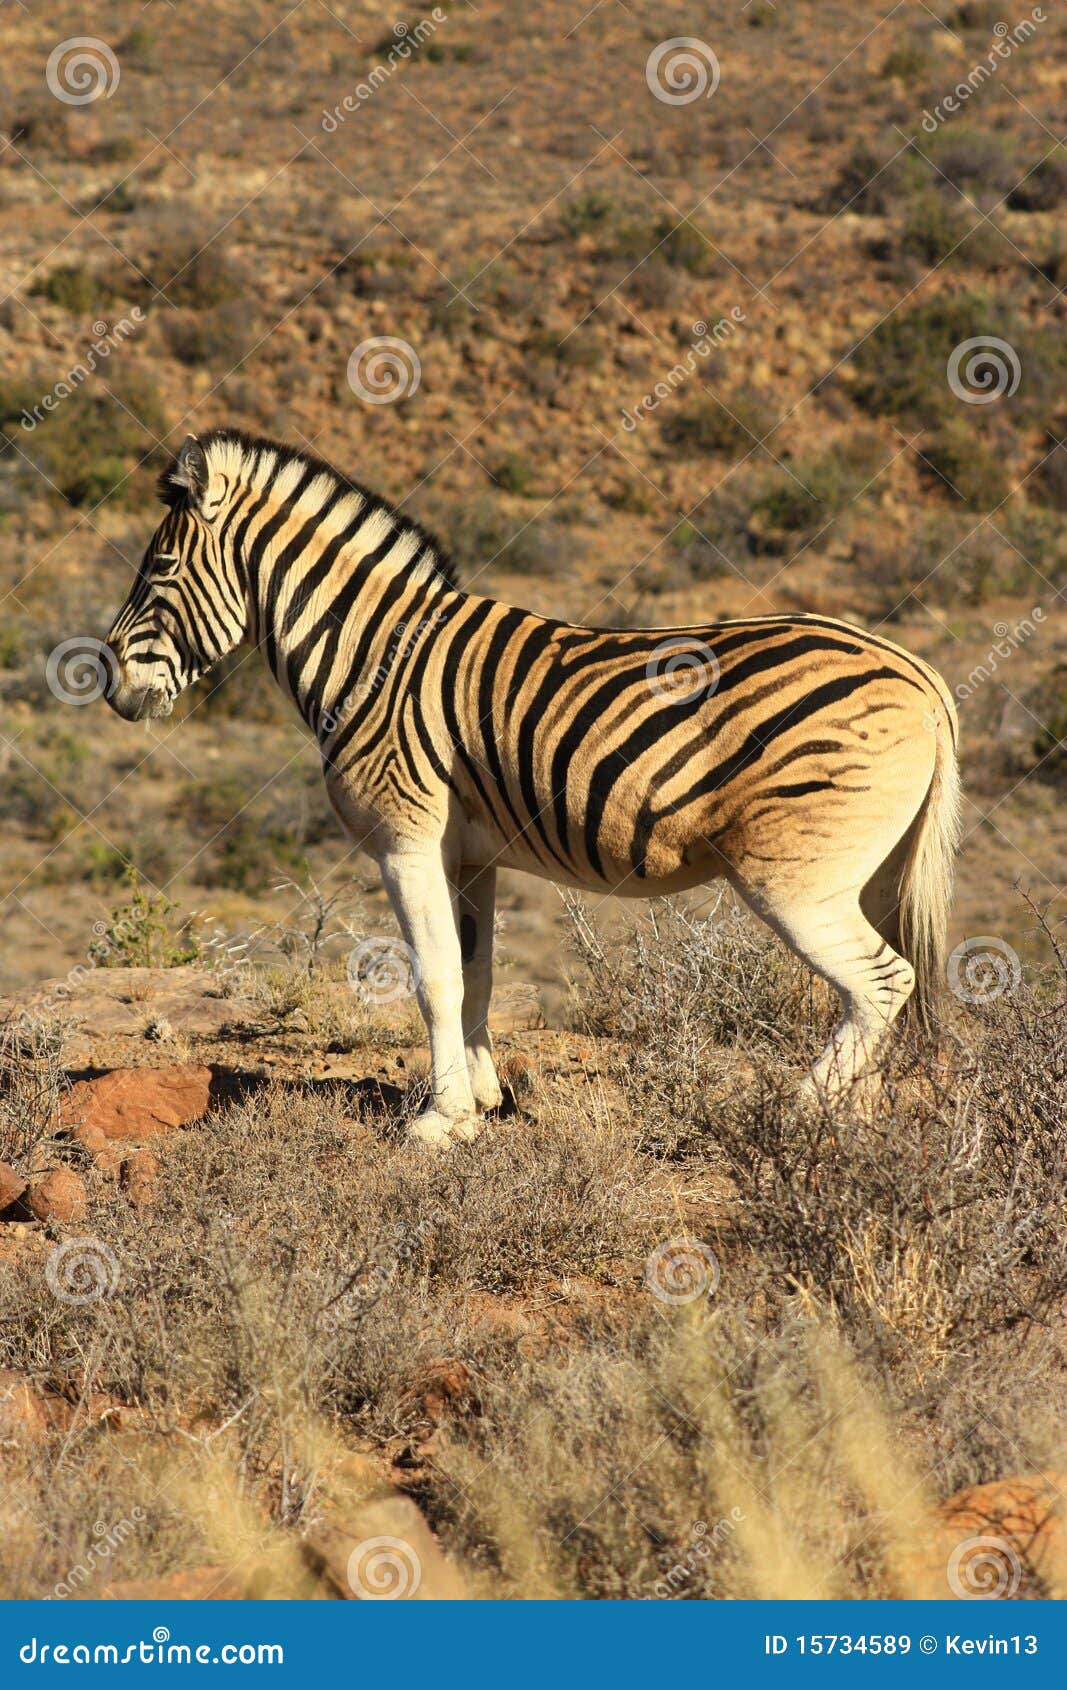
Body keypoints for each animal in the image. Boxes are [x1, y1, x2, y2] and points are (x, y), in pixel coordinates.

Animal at [104, 430, 961, 1145]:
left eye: (161, 572)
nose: (111, 688)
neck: (373, 656)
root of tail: (914, 672)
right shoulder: (466, 854)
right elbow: (474, 974)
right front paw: (481, 1100)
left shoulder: (406, 841)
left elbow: (433, 977)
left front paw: (439, 1122)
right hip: (870, 872)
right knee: (878, 992)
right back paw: (853, 1120)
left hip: (794, 877)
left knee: (883, 983)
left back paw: (799, 1115)